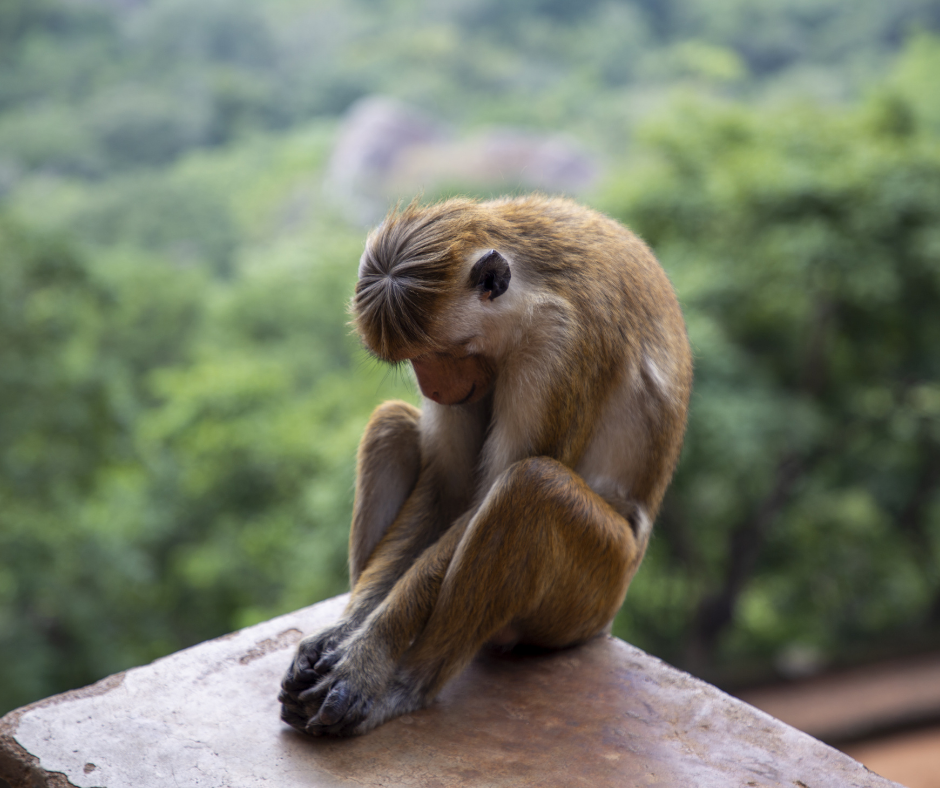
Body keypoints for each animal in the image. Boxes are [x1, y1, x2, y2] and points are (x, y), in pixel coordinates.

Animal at [279, 194, 692, 736]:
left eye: (440, 350)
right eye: (413, 358)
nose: (432, 387)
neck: (530, 292)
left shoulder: (561, 347)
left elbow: (484, 499)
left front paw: (369, 655)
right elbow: (449, 487)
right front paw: (343, 631)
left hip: (591, 597)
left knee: (530, 489)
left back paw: (406, 686)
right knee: (391, 424)